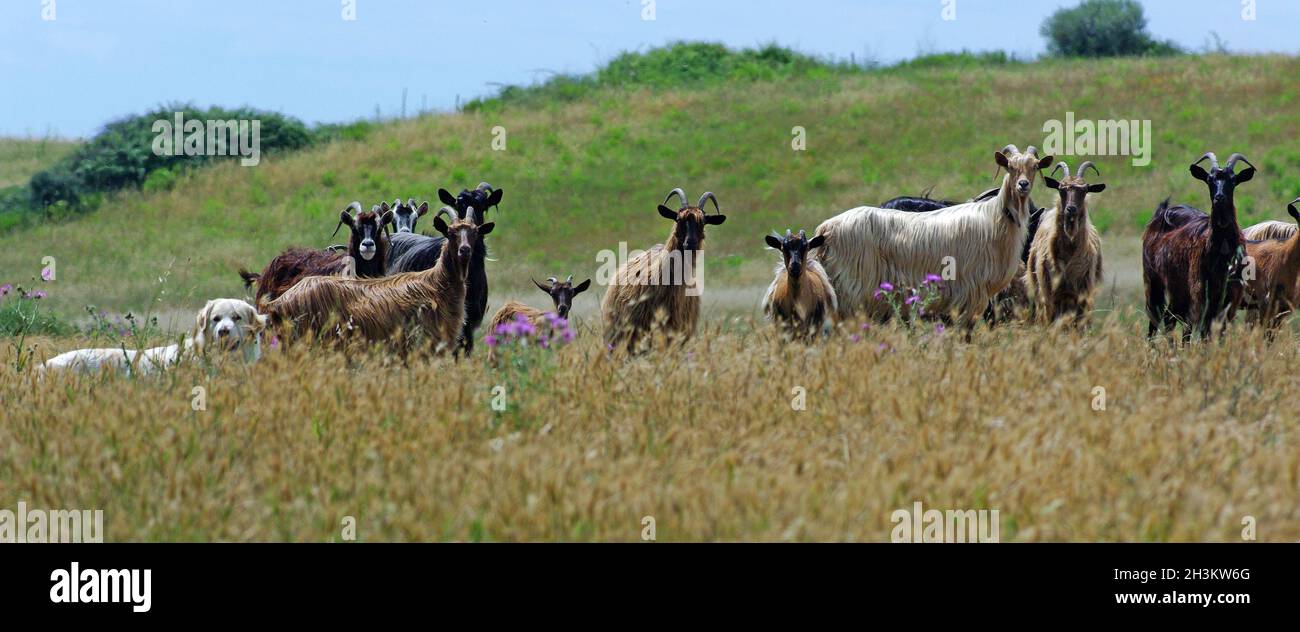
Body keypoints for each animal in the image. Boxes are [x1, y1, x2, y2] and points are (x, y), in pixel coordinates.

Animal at [812, 145, 1052, 337]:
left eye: (1035, 167)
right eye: (1009, 166)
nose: (1023, 185)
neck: (994, 217)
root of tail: (825, 229)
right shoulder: (970, 293)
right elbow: (965, 334)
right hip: (852, 292)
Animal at [1142, 152, 1256, 341]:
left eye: (1233, 180)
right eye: (1209, 179)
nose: (1219, 198)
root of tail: (1161, 213)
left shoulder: (1230, 296)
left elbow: (1219, 331)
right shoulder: (1201, 292)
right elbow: (1204, 331)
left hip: (1179, 289)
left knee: (1169, 317)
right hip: (1154, 279)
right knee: (1156, 317)